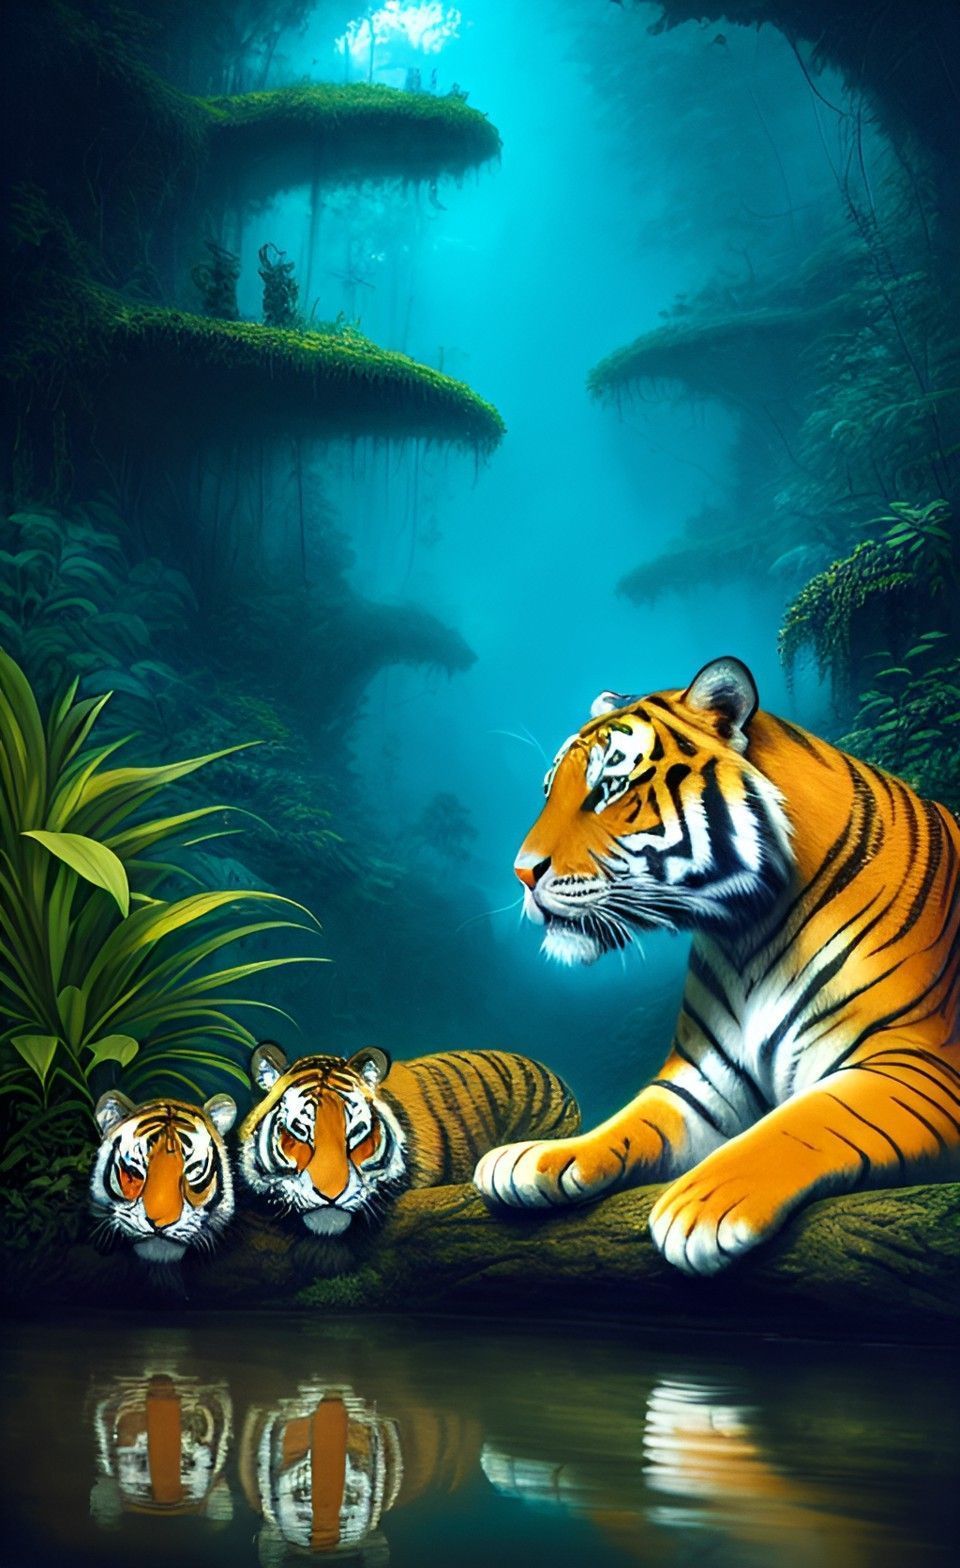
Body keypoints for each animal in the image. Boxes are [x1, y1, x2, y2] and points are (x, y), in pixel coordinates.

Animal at [474, 655, 960, 1274]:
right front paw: (537, 1157)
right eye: (547, 792)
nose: (521, 873)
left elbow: (802, 1121)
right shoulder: (705, 1080)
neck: (748, 931)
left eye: (608, 789)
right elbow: (630, 1121)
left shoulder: (915, 1065)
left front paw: (703, 1204)